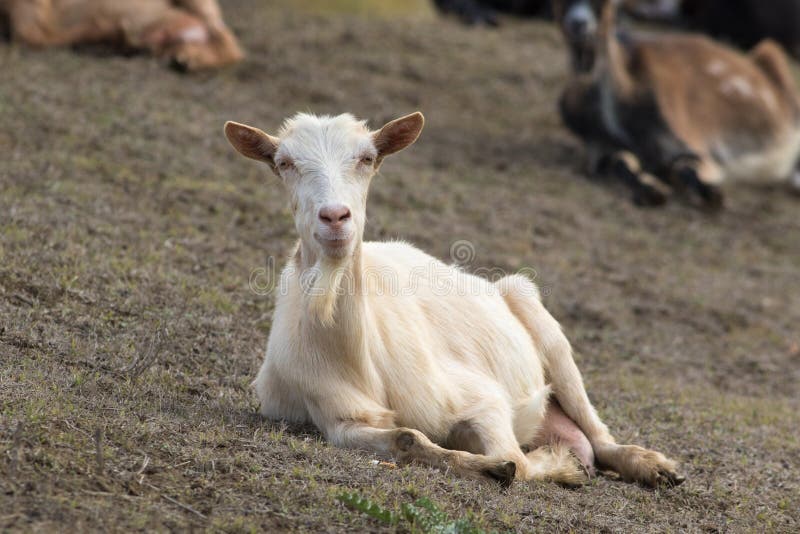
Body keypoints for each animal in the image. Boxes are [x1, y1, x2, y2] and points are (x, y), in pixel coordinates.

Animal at [224, 111, 684, 488]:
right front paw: (491, 467)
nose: (335, 217)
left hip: (538, 318)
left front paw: (558, 465)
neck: (352, 351)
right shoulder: (339, 417)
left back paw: (654, 467)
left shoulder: (480, 399)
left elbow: (516, 460)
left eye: (367, 158)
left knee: (598, 433)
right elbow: (408, 438)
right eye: (284, 163)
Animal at [554, 0, 800, 207]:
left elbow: (686, 166)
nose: (578, 24)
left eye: (603, 3)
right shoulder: (599, 151)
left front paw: (711, 193)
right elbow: (619, 163)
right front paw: (652, 190)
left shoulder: (697, 146)